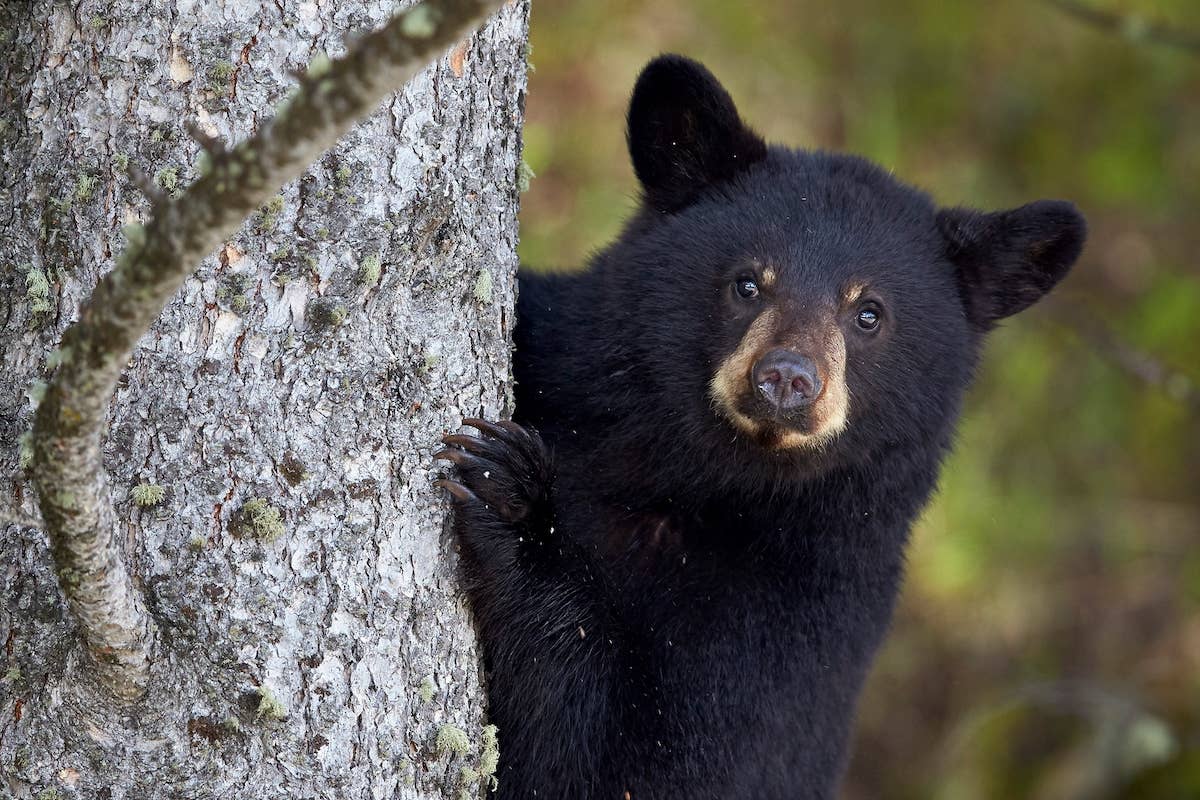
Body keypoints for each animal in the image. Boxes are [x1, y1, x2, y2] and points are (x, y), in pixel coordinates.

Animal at [436, 55, 1086, 799]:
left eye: (869, 313)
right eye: (748, 283)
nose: (787, 378)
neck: (693, 476)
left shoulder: (801, 616)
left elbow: (631, 762)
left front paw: (512, 496)